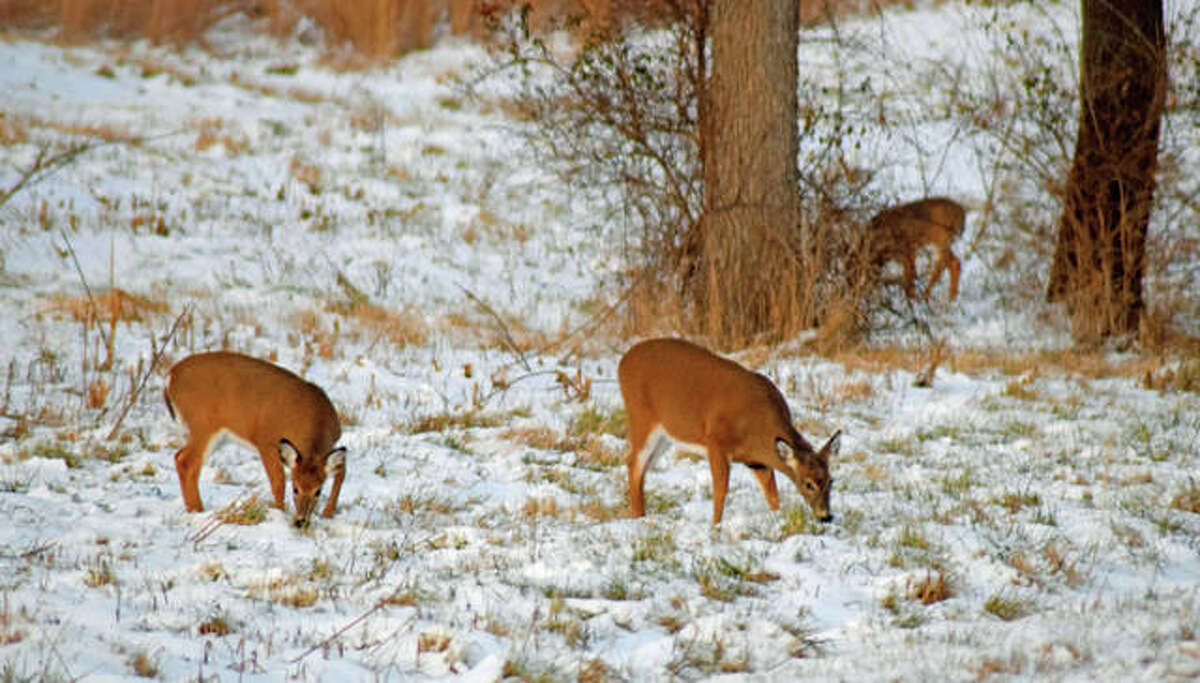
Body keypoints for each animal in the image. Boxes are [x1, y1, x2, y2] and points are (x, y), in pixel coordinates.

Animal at [163, 351, 346, 528]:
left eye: (318, 491)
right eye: (295, 488)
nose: (301, 521)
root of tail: (171, 376)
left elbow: (341, 472)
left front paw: (328, 513)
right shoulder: (266, 440)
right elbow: (278, 481)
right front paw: (280, 513)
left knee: (180, 457)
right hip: (204, 426)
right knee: (186, 461)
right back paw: (198, 510)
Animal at [618, 338, 841, 525]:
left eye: (831, 481)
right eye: (808, 484)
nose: (826, 516)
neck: (758, 425)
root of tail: (623, 362)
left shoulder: (756, 461)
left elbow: (772, 493)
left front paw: (777, 519)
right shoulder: (716, 443)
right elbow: (721, 490)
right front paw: (715, 527)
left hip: (665, 435)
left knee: (642, 466)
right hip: (641, 417)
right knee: (634, 463)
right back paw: (637, 517)